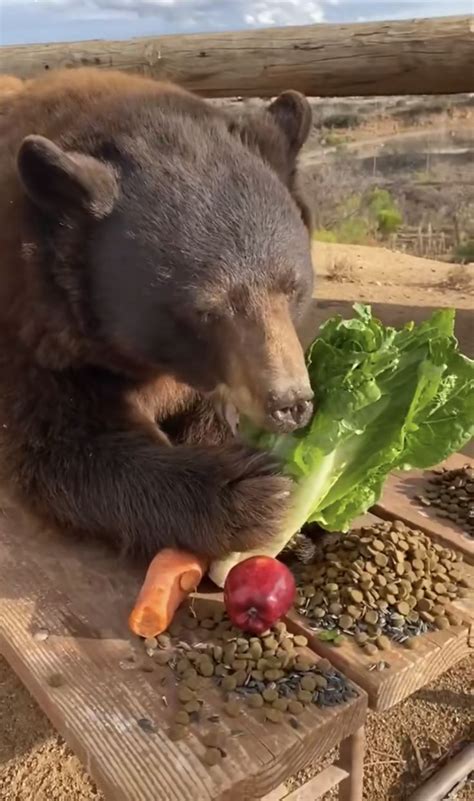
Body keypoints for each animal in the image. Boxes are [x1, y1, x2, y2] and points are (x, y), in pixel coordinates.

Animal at [0, 68, 314, 562]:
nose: (290, 403)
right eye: (208, 308)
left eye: (293, 288)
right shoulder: (31, 338)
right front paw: (254, 492)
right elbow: (62, 447)